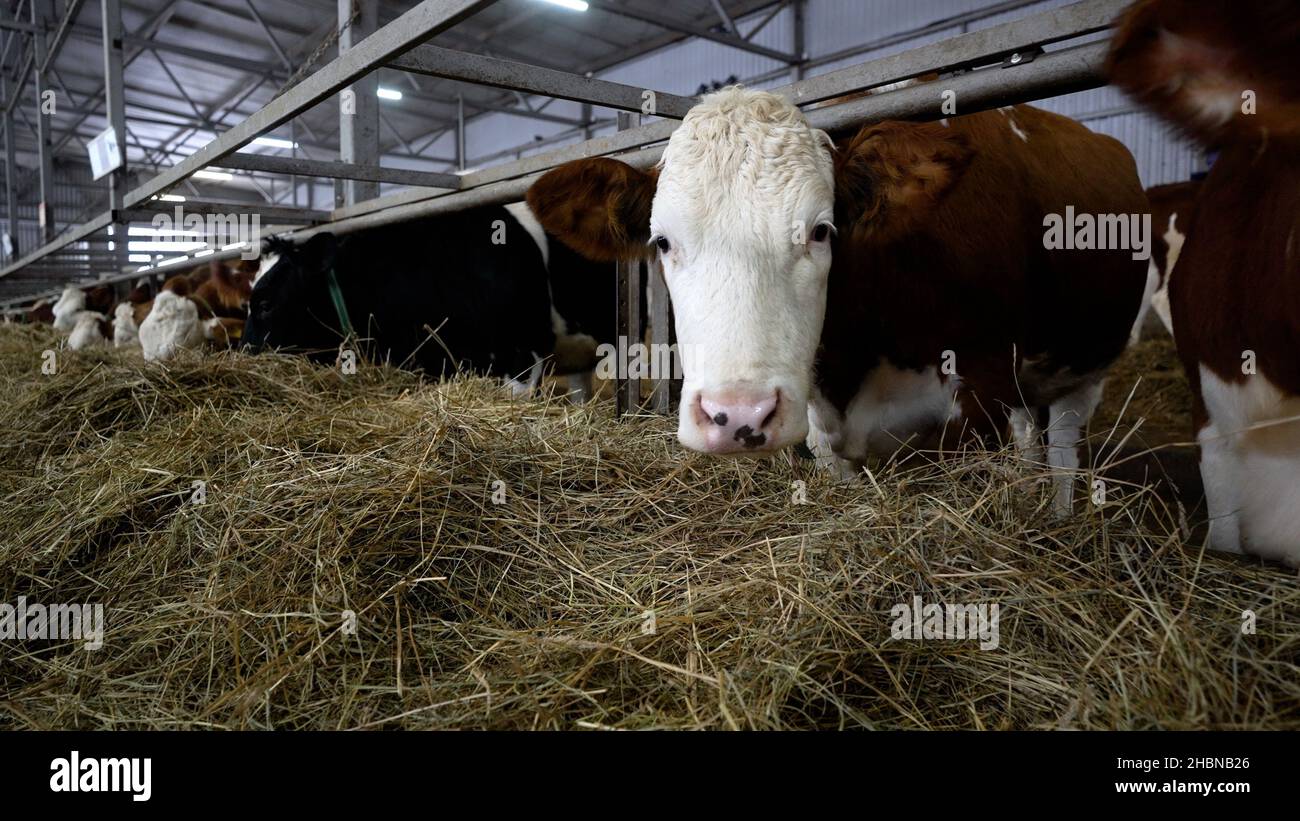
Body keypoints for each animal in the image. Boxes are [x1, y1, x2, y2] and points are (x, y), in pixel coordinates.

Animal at [527, 86, 1148, 511]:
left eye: (822, 230)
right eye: (661, 241)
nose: (738, 416)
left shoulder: (985, 398)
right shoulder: (826, 438)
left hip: (1086, 366)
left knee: (1063, 449)